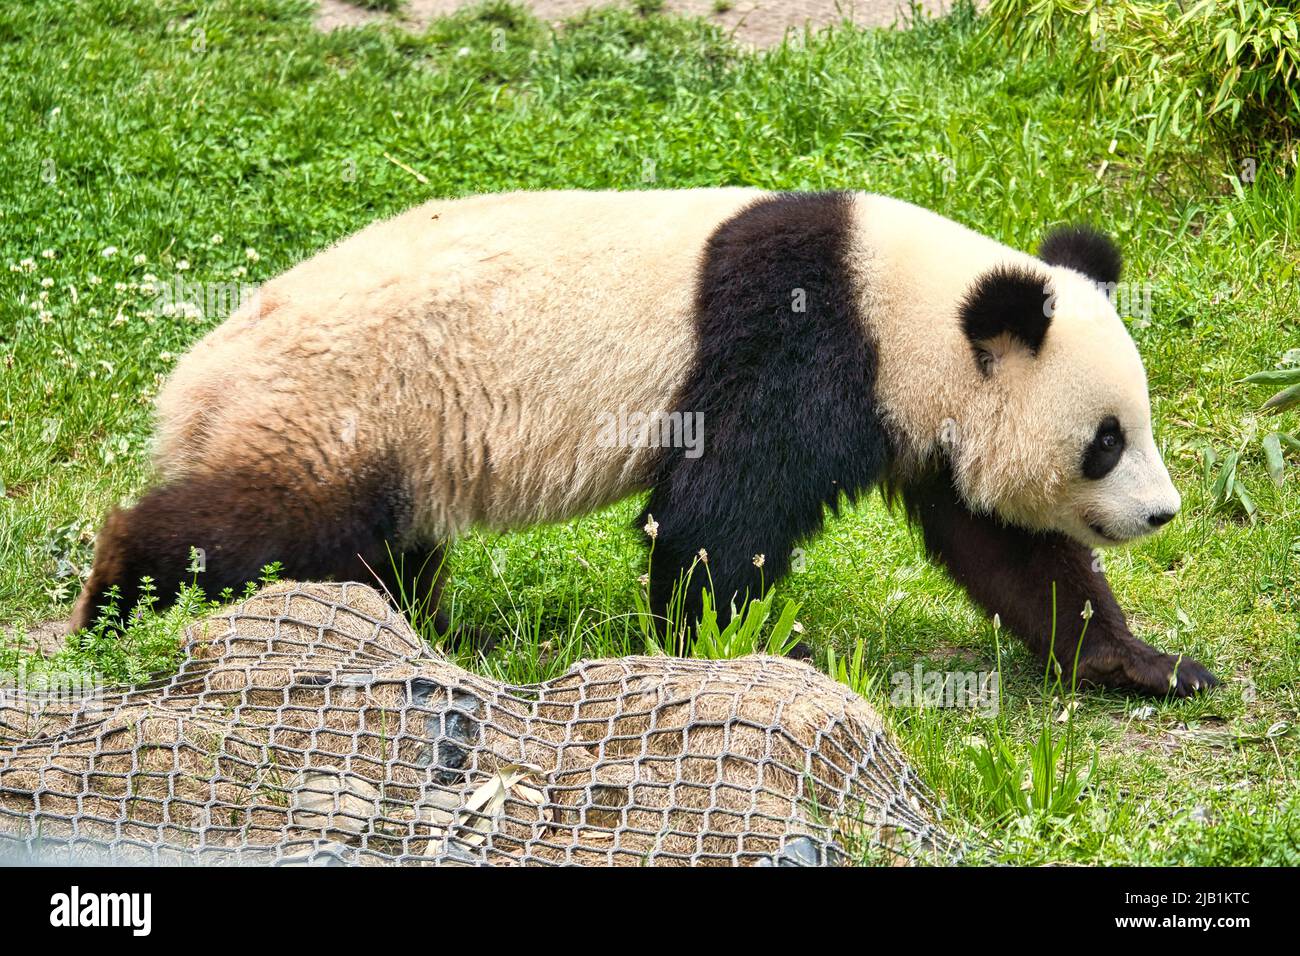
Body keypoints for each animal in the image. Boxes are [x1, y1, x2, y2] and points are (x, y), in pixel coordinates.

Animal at [69, 188, 1216, 697]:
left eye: (1137, 427)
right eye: (1105, 441)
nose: (1161, 513)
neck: (909, 305)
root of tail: (193, 377)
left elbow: (1005, 548)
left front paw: (1147, 665)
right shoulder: (798, 340)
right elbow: (722, 511)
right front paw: (736, 643)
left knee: (372, 549)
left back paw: (424, 628)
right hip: (343, 404)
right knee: (266, 521)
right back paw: (112, 589)